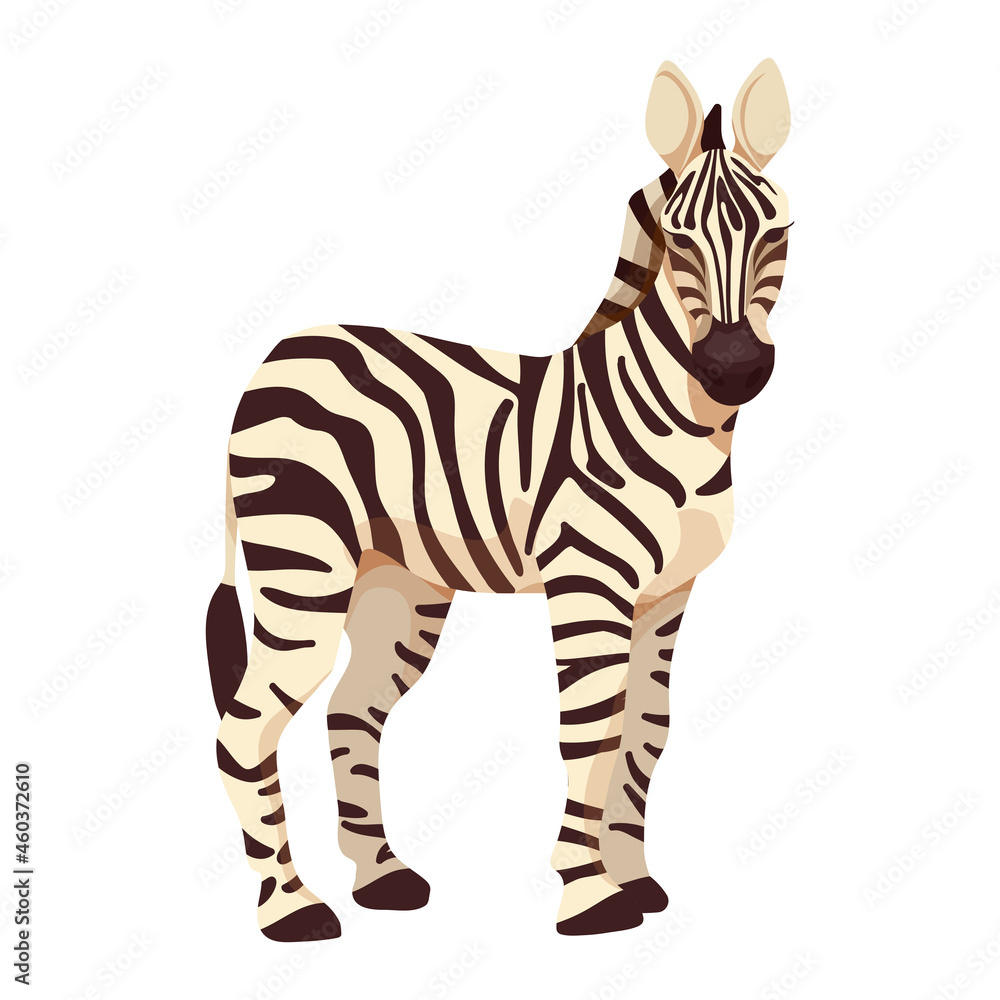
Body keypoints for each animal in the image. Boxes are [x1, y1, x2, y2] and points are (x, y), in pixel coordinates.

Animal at [208, 58, 792, 941]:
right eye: (680, 239)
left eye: (777, 233)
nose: (734, 369)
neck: (675, 416)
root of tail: (276, 353)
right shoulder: (590, 584)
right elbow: (590, 728)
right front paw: (589, 893)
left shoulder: (668, 595)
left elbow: (644, 731)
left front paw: (634, 878)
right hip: (302, 569)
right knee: (245, 729)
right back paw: (290, 907)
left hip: (397, 582)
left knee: (352, 710)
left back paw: (381, 878)